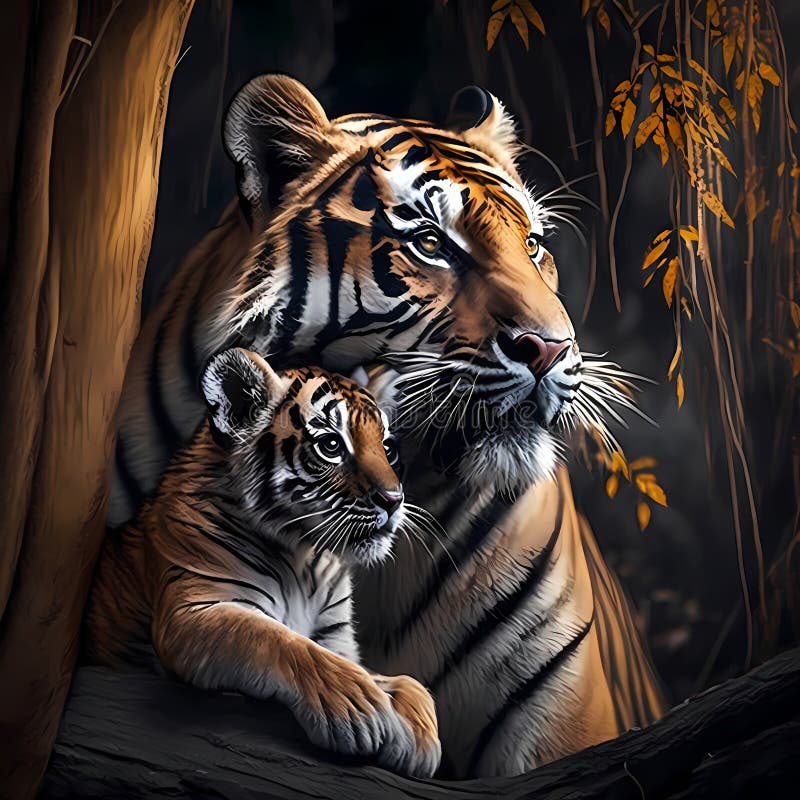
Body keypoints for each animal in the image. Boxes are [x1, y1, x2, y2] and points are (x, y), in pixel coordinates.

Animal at [88, 347, 441, 778]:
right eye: (331, 445)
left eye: (388, 448)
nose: (393, 500)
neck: (307, 560)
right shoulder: (194, 610)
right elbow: (280, 640)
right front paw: (361, 709)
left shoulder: (337, 640)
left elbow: (406, 680)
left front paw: (421, 736)